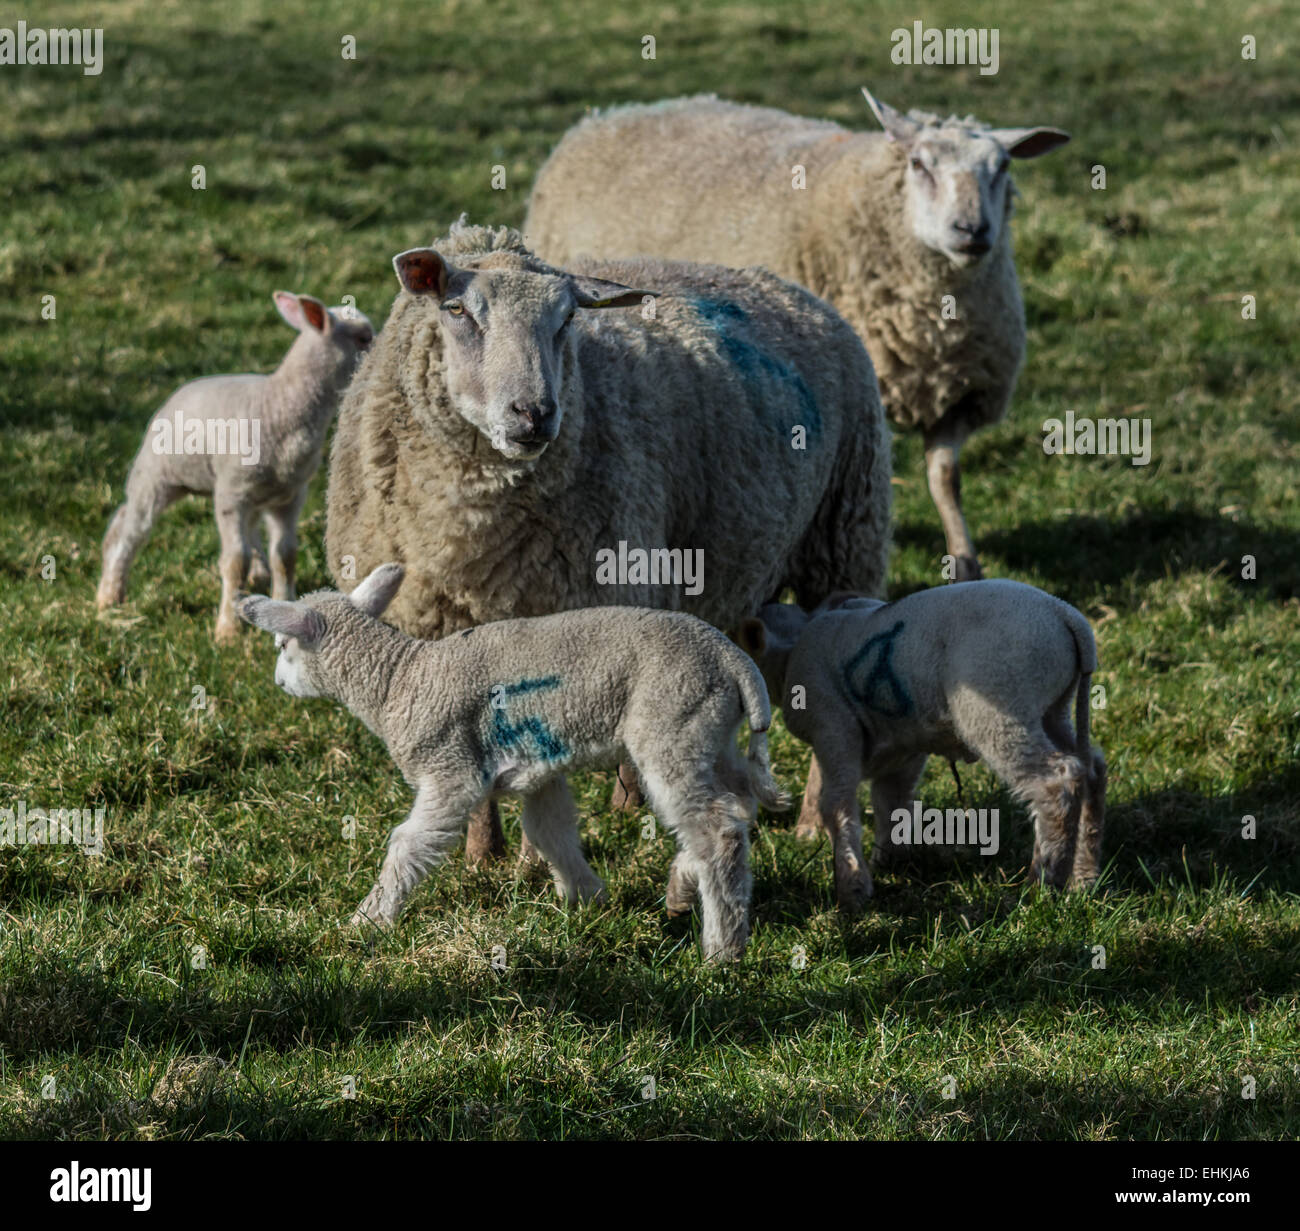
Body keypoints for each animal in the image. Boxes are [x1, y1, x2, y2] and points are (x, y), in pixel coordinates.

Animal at [96, 291, 374, 643]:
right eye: (363, 338)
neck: (282, 404)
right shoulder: (231, 494)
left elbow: (286, 556)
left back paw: (258, 576)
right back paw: (110, 594)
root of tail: (183, 388)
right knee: (129, 525)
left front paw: (284, 604)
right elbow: (233, 562)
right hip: (156, 473)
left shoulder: (291, 496)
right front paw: (227, 630)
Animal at [237, 562, 790, 960]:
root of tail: (734, 660)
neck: (398, 679)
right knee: (737, 806)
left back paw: (721, 950)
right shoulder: (537, 770)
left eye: (283, 644)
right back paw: (684, 888)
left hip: (671, 722)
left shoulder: (451, 768)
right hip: (710, 732)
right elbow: (550, 832)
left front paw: (367, 920)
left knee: (717, 828)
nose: (277, 682)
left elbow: (408, 844)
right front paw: (587, 900)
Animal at [323, 219, 892, 865]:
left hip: (845, 537)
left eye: (567, 319)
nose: (534, 414)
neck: (467, 532)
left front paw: (530, 862)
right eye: (457, 310)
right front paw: (480, 854)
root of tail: (788, 287)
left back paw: (814, 823)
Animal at [524, 89, 1070, 586]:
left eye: (1002, 167)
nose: (972, 230)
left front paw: (964, 561)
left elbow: (946, 479)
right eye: (919, 164)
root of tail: (617, 112)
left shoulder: (957, 394)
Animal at [737, 580, 1106, 912]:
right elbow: (891, 800)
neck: (796, 644)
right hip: (1052, 708)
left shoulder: (834, 728)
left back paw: (1043, 883)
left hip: (1000, 707)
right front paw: (889, 862)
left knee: (1057, 780)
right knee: (1092, 768)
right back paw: (1083, 876)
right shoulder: (902, 745)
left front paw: (852, 889)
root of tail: (1065, 615)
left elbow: (836, 805)